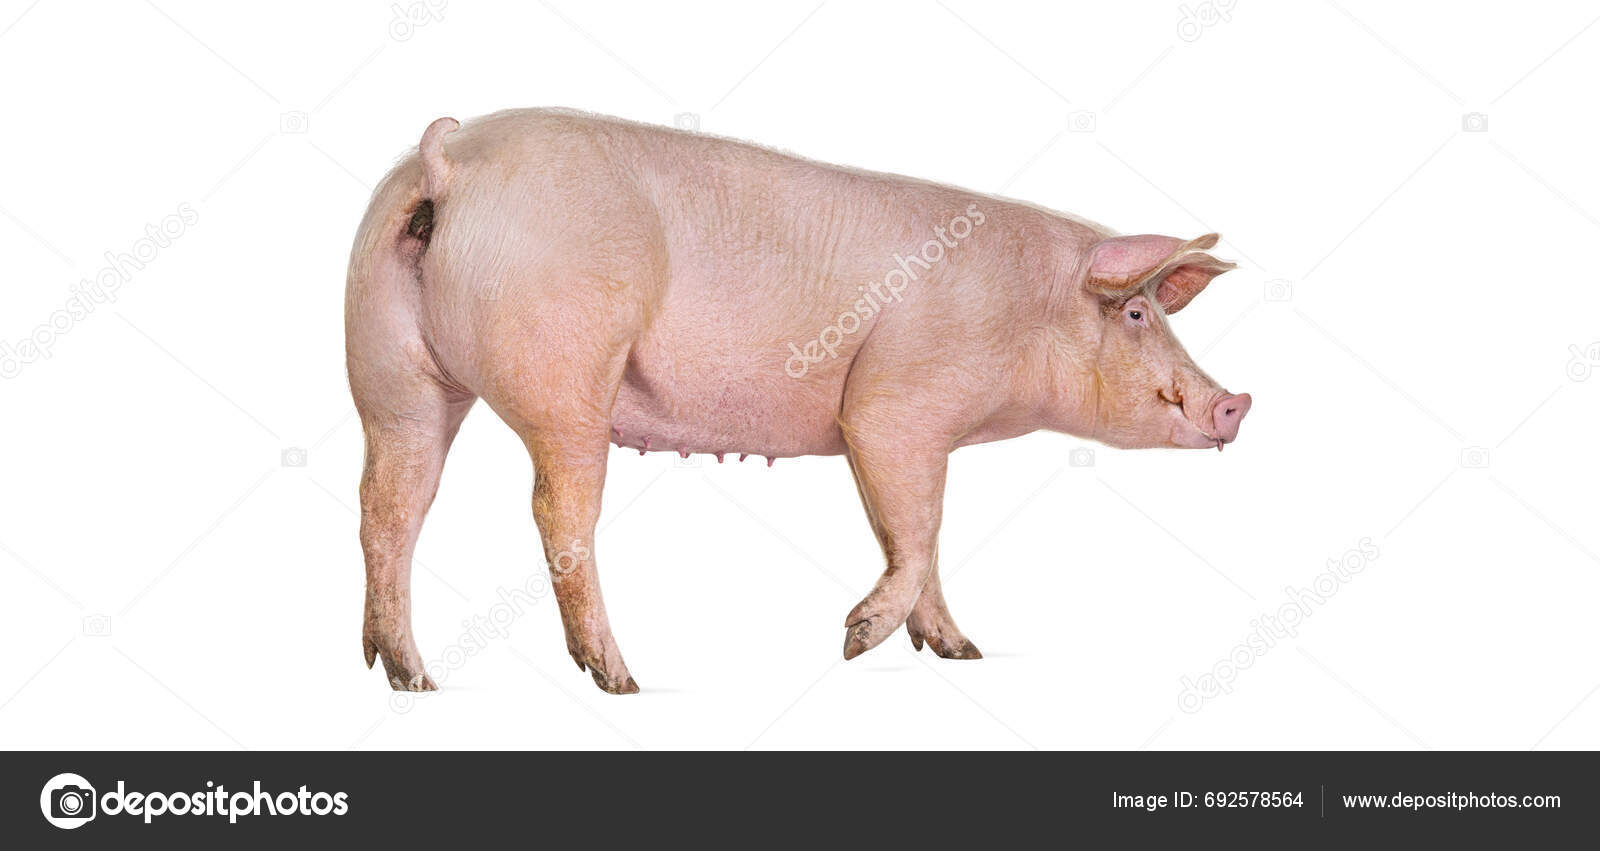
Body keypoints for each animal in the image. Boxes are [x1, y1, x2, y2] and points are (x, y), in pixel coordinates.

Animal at [346, 109, 1251, 694]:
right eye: (1136, 315)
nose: (1237, 402)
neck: (1025, 310)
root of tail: (448, 159)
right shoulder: (895, 406)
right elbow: (920, 528)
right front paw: (855, 642)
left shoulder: (894, 439)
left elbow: (910, 532)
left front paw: (961, 654)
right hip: (565, 377)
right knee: (556, 512)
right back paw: (620, 678)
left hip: (389, 374)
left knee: (389, 506)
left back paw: (408, 677)